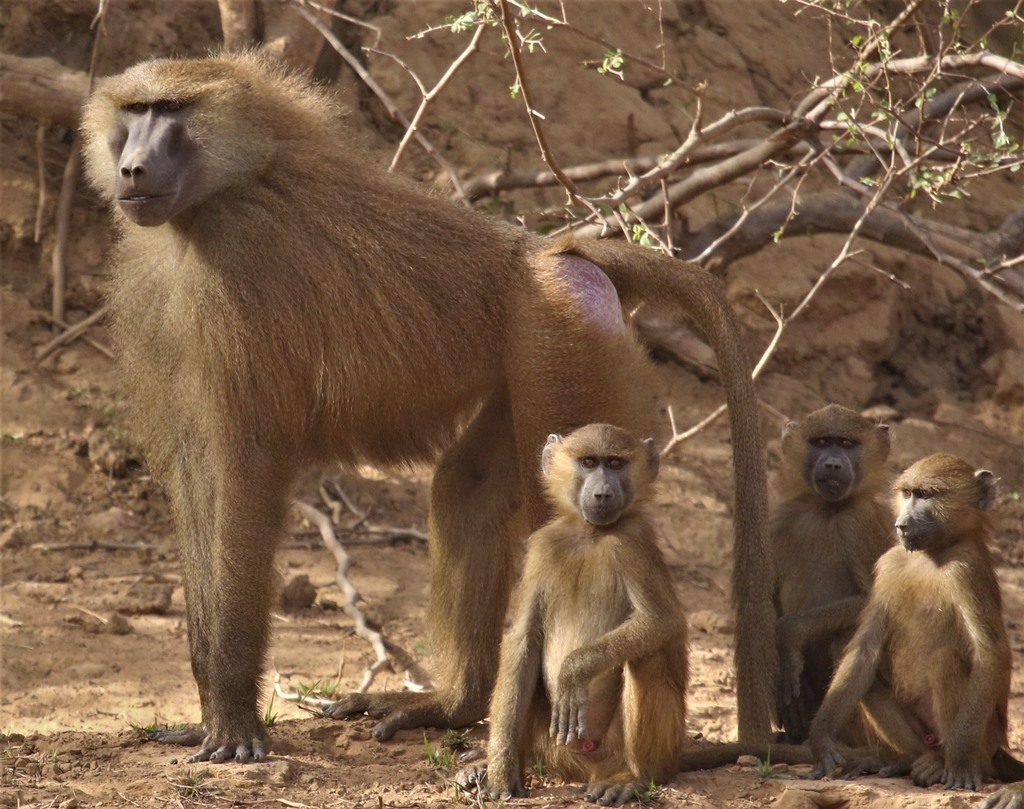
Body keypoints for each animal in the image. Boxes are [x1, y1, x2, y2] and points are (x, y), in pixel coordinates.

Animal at [80, 52, 776, 763]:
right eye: (135, 111)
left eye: (172, 111)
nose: (133, 168)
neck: (217, 198)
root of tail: (552, 252)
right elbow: (195, 475)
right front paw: (207, 713)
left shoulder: (242, 273)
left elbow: (248, 471)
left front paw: (234, 723)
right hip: (548, 353)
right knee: (469, 487)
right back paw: (453, 706)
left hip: (565, 340)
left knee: (562, 521)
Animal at [770, 404, 894, 743]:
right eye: (822, 442)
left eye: (847, 444)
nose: (833, 464)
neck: (825, 510)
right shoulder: (781, 519)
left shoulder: (859, 522)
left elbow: (873, 601)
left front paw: (788, 637)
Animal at [810, 454, 1024, 790]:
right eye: (907, 493)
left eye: (926, 495)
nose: (902, 524)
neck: (930, 556)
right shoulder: (888, 566)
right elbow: (864, 651)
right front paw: (821, 740)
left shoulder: (967, 569)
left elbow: (991, 653)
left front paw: (961, 764)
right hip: (922, 735)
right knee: (867, 674)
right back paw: (910, 760)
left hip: (985, 736)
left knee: (944, 659)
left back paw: (952, 764)